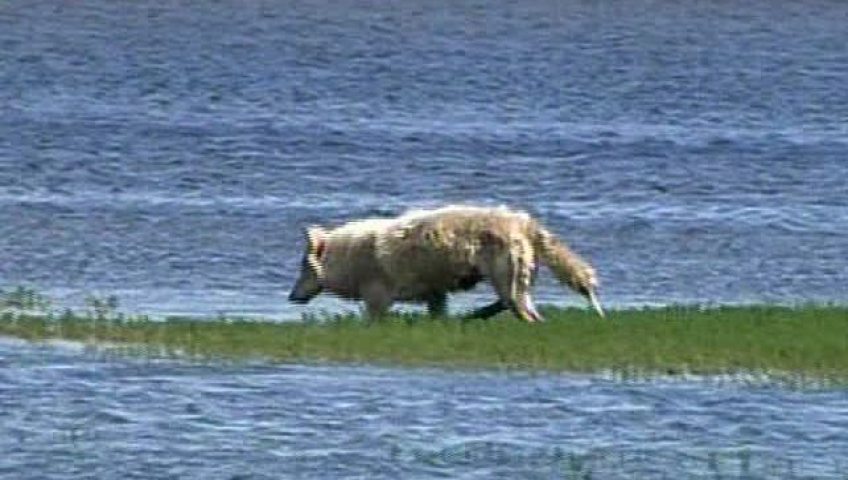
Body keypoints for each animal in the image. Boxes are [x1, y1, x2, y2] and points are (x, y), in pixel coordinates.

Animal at [288, 205, 604, 322]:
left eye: (303, 267)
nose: (290, 297)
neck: (347, 257)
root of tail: (523, 223)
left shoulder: (377, 298)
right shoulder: (435, 294)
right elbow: (436, 316)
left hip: (506, 279)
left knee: (522, 311)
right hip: (515, 282)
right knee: (513, 306)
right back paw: (473, 316)